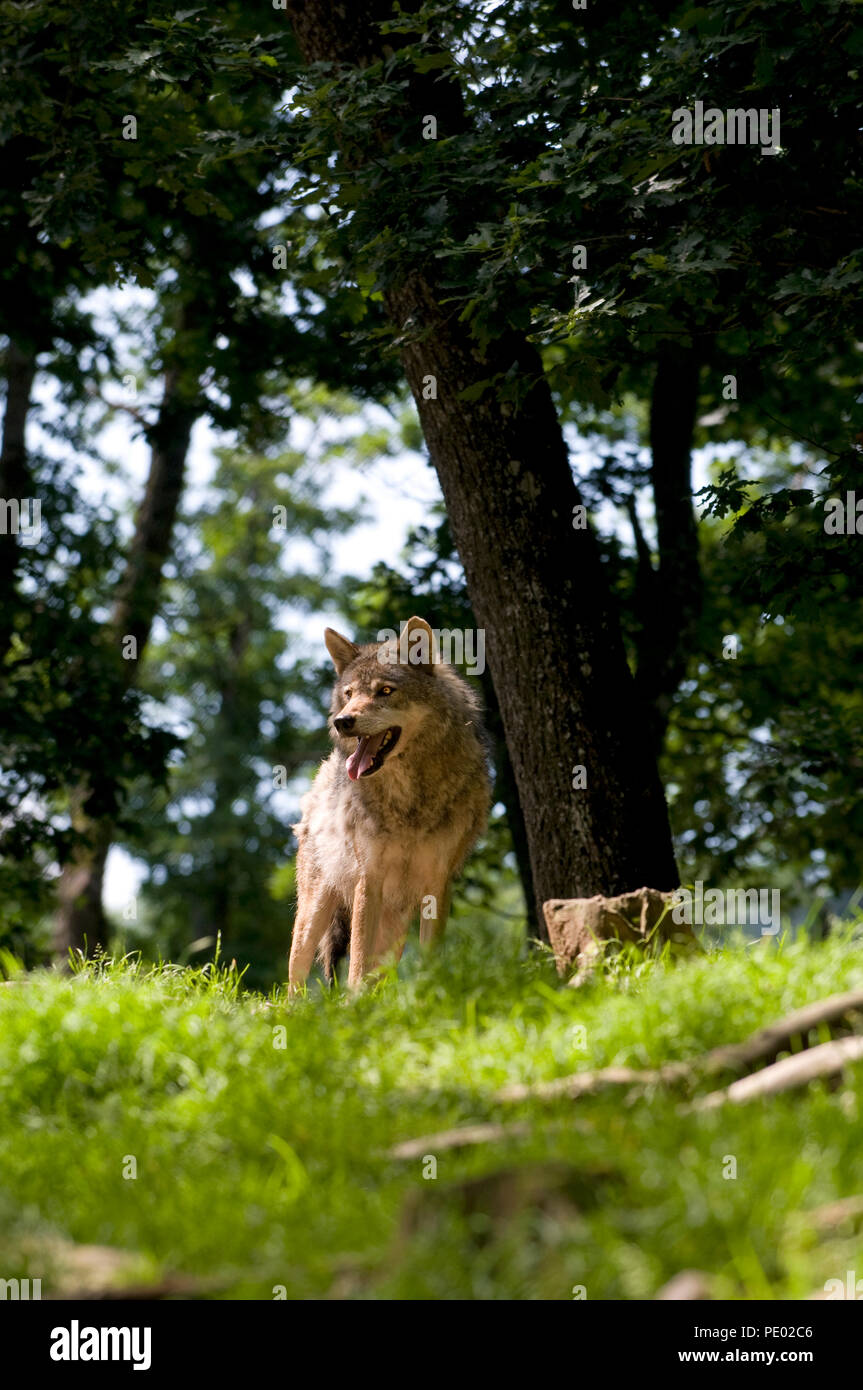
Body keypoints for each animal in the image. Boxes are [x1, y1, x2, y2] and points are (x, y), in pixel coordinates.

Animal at [289, 616, 490, 991]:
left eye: (385, 691)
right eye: (349, 694)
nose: (342, 721)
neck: (410, 796)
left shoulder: (438, 883)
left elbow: (430, 952)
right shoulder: (369, 878)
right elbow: (355, 964)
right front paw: (354, 1003)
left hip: (393, 926)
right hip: (314, 913)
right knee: (294, 978)